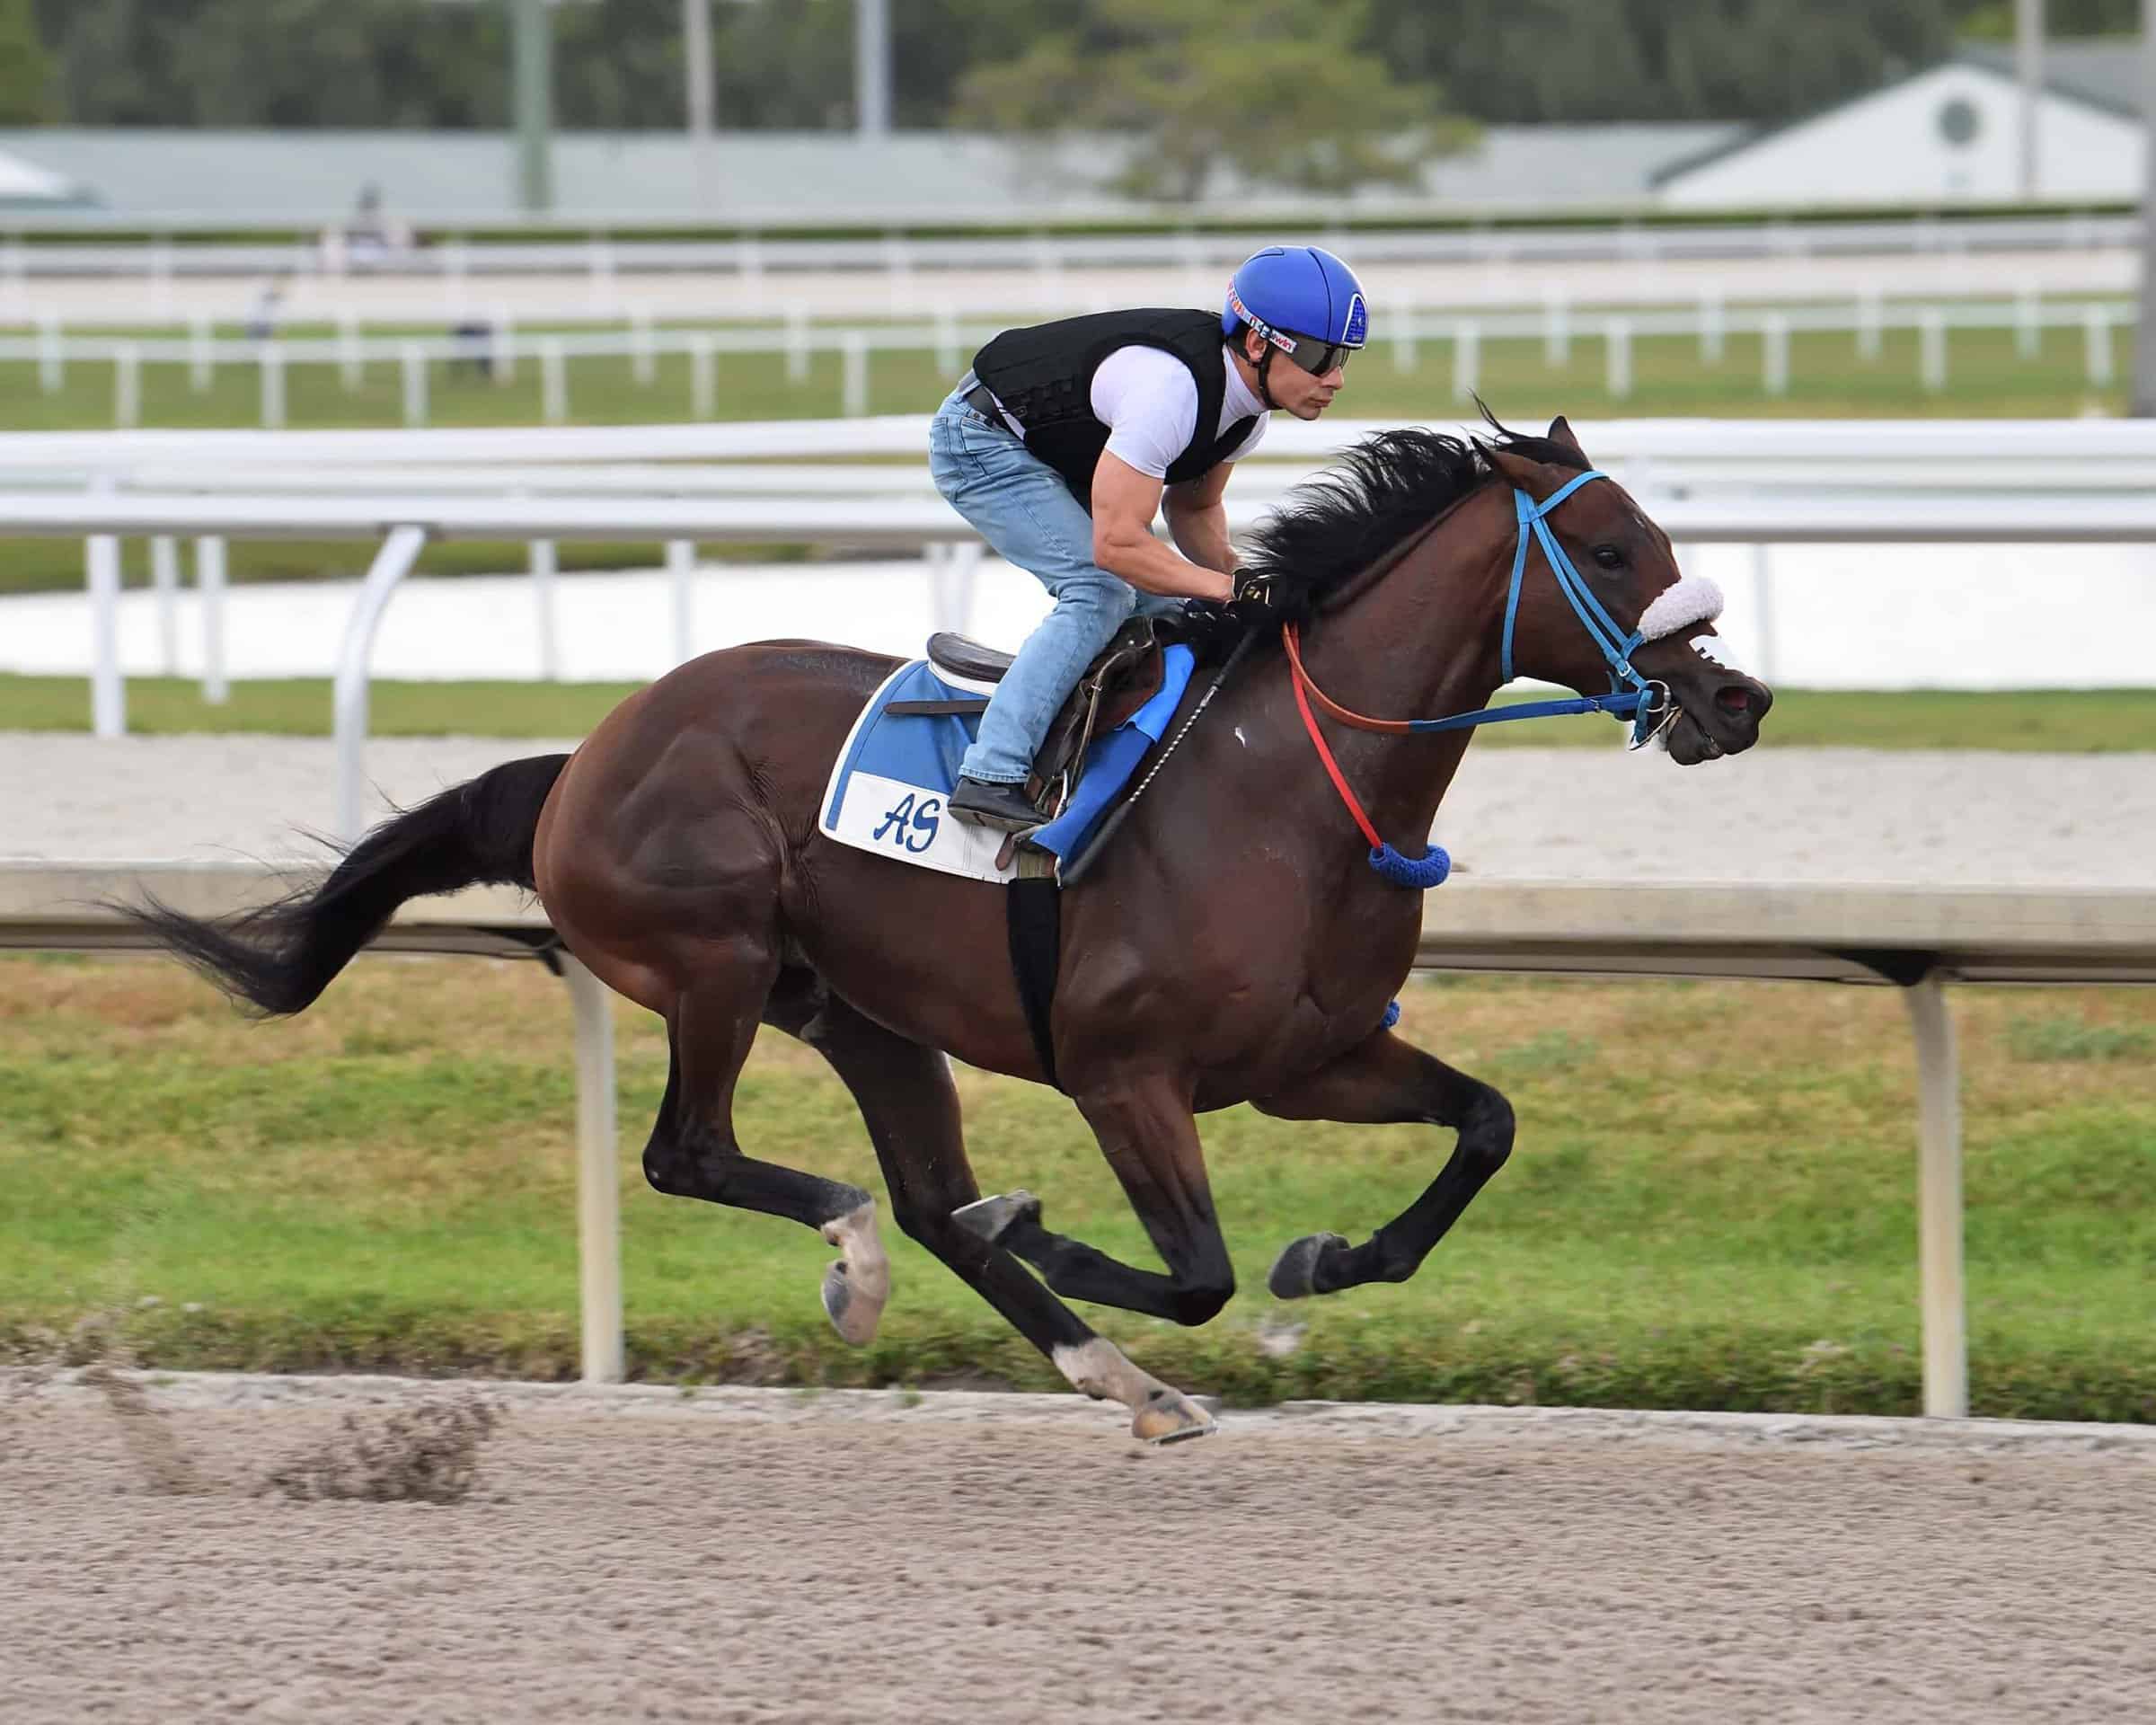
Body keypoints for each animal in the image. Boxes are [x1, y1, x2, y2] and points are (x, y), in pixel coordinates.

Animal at [128, 415, 1771, 1444]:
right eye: (1610, 551)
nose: (1737, 695)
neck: (1285, 788)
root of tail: (582, 760)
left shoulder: (1310, 1060)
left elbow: (1483, 1125)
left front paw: (1325, 1261)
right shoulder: (1125, 1071)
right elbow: (1195, 1269)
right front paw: (1056, 1228)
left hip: (865, 1011)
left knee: (917, 1196)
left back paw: (1117, 1378)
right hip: (717, 958)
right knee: (699, 1156)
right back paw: (865, 1264)